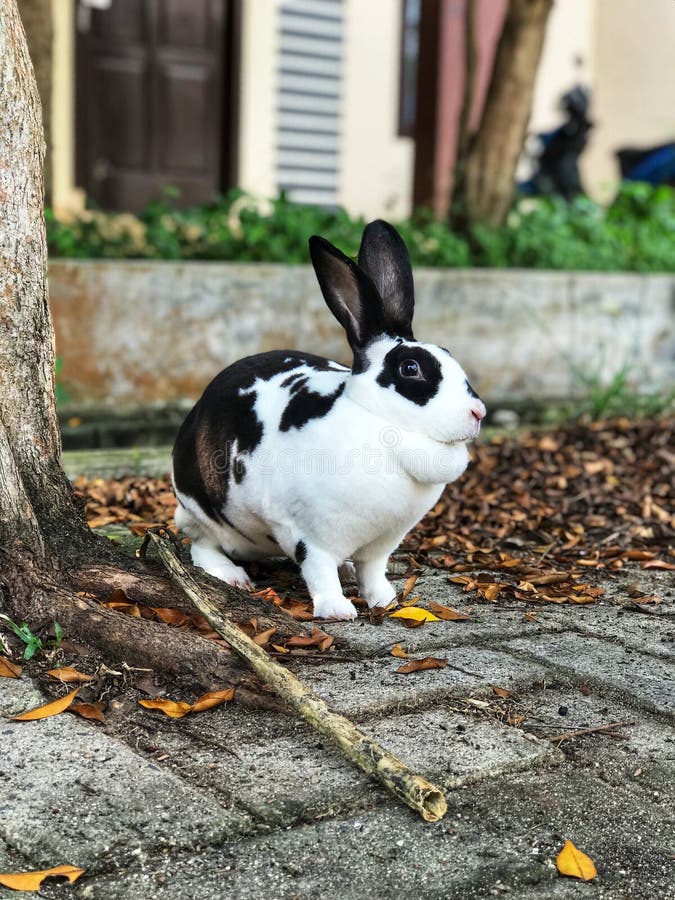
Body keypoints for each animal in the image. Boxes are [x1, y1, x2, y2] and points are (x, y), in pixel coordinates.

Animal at [172, 220, 485, 620]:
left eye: (447, 353)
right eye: (410, 368)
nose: (478, 412)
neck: (382, 426)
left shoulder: (382, 543)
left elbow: (373, 571)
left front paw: (385, 600)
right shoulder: (307, 535)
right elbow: (318, 571)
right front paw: (337, 610)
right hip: (199, 509)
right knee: (201, 543)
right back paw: (232, 575)